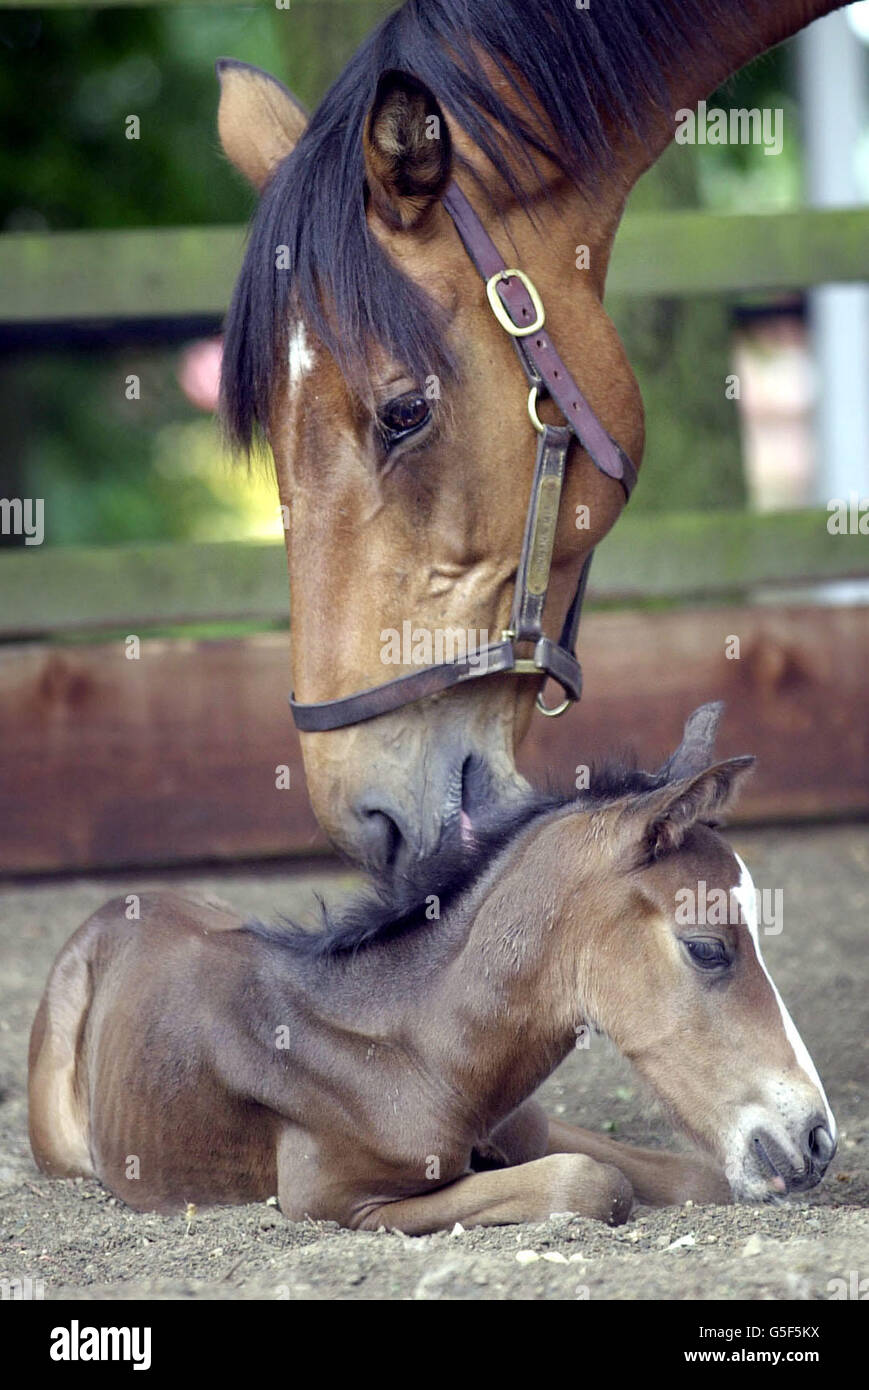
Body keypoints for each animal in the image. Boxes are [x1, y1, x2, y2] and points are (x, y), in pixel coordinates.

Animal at [29, 705, 836, 1231]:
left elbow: (697, 1177)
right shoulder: (339, 1203)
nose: (817, 1142)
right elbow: (593, 1185)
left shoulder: (532, 1126)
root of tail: (118, 906)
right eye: (707, 947)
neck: (417, 1051)